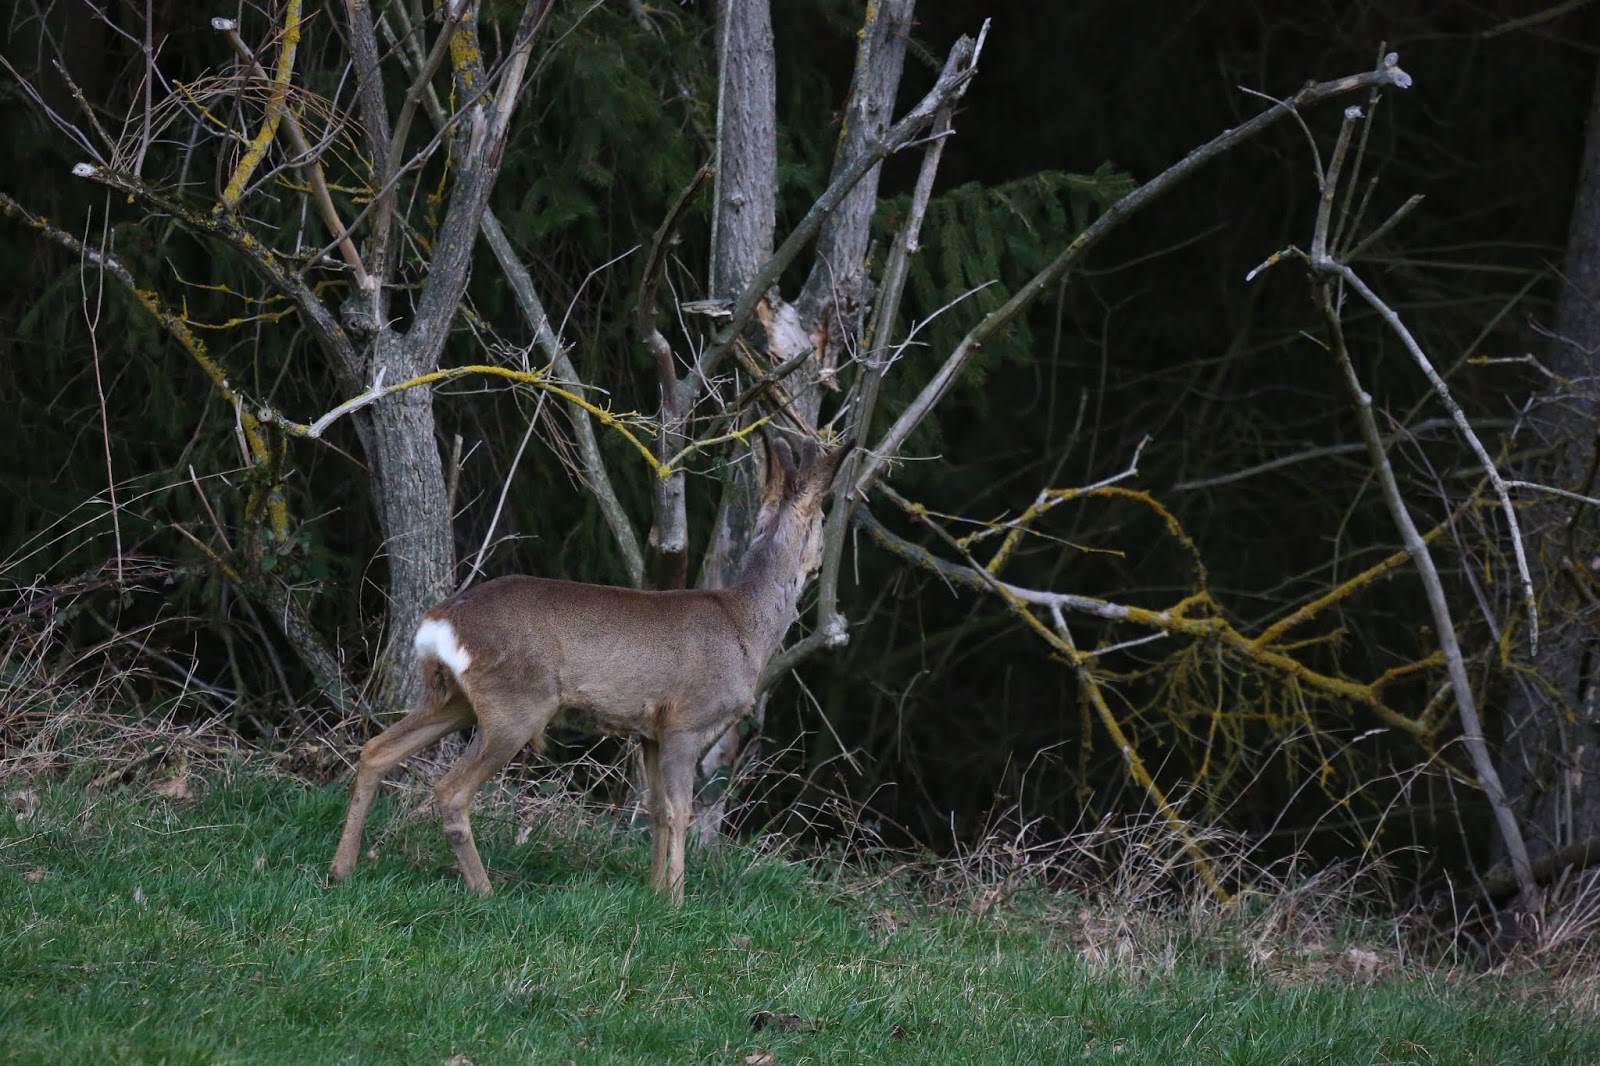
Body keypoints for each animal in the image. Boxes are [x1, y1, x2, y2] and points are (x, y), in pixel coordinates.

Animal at [328, 435, 852, 903]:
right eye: (824, 519)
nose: (819, 564)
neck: (746, 626)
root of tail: (440, 623)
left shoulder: (648, 731)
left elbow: (655, 809)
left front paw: (654, 893)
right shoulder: (687, 721)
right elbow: (679, 810)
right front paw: (678, 900)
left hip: (454, 698)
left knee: (375, 751)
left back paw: (342, 869)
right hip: (516, 704)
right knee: (450, 791)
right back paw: (484, 891)